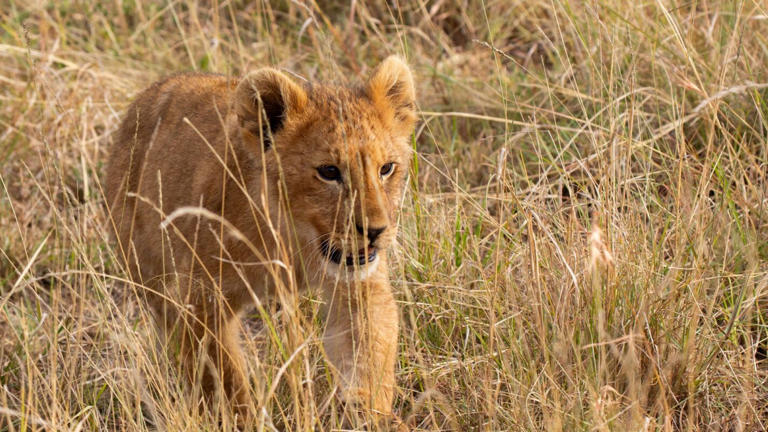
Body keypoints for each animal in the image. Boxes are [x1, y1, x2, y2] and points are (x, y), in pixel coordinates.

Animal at [104, 56, 416, 426]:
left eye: (387, 169)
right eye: (328, 172)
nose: (375, 231)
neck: (293, 237)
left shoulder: (358, 287)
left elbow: (369, 354)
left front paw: (369, 416)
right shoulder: (206, 296)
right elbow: (224, 376)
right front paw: (244, 420)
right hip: (149, 270)